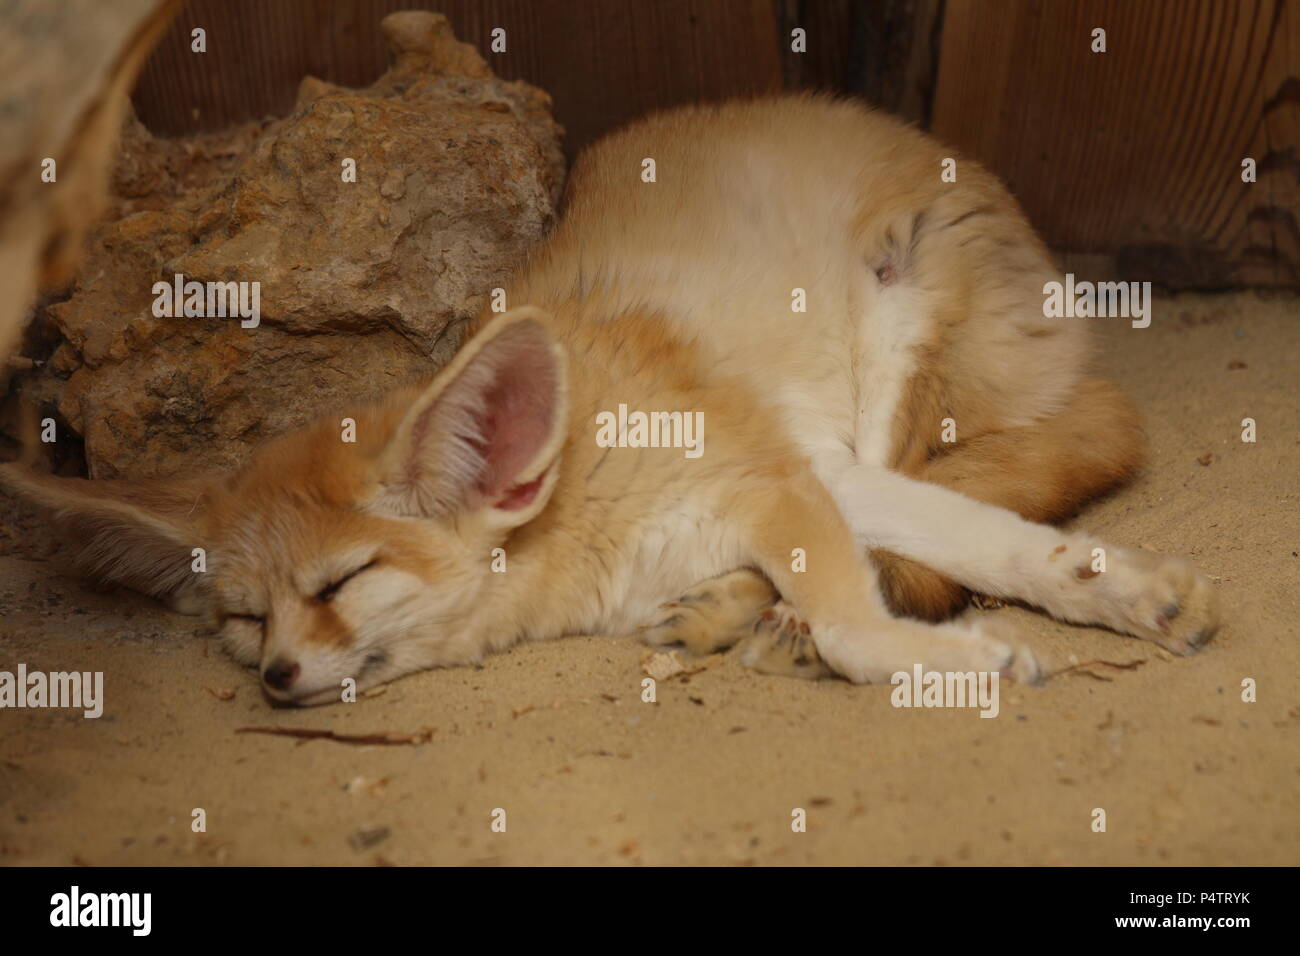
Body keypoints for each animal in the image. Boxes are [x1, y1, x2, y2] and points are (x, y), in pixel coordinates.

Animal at [1, 95, 1219, 705]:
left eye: (341, 583)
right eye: (243, 620)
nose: (275, 677)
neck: (576, 504)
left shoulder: (787, 470)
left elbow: (935, 569)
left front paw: (1082, 609)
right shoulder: (790, 483)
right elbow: (906, 564)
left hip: (895, 341)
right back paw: (730, 612)